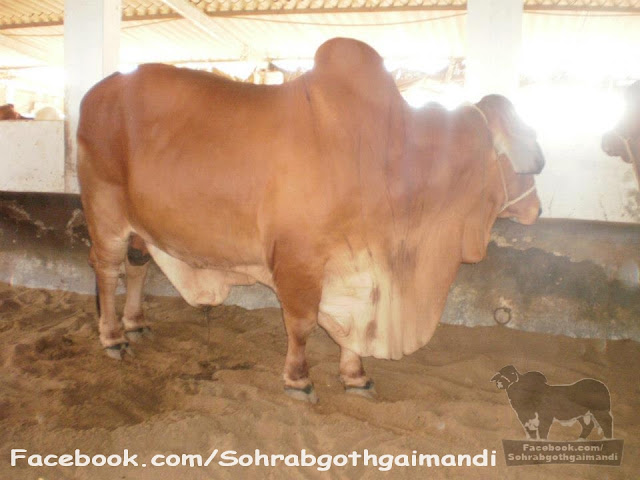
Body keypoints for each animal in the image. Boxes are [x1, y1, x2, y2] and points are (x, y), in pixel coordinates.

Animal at [77, 37, 544, 403]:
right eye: (524, 156)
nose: (537, 210)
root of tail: (95, 92)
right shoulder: (299, 259)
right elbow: (301, 324)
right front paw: (299, 380)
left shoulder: (359, 270)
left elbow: (353, 328)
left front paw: (355, 377)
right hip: (105, 210)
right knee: (107, 269)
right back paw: (112, 336)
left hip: (141, 225)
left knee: (136, 267)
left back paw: (136, 323)